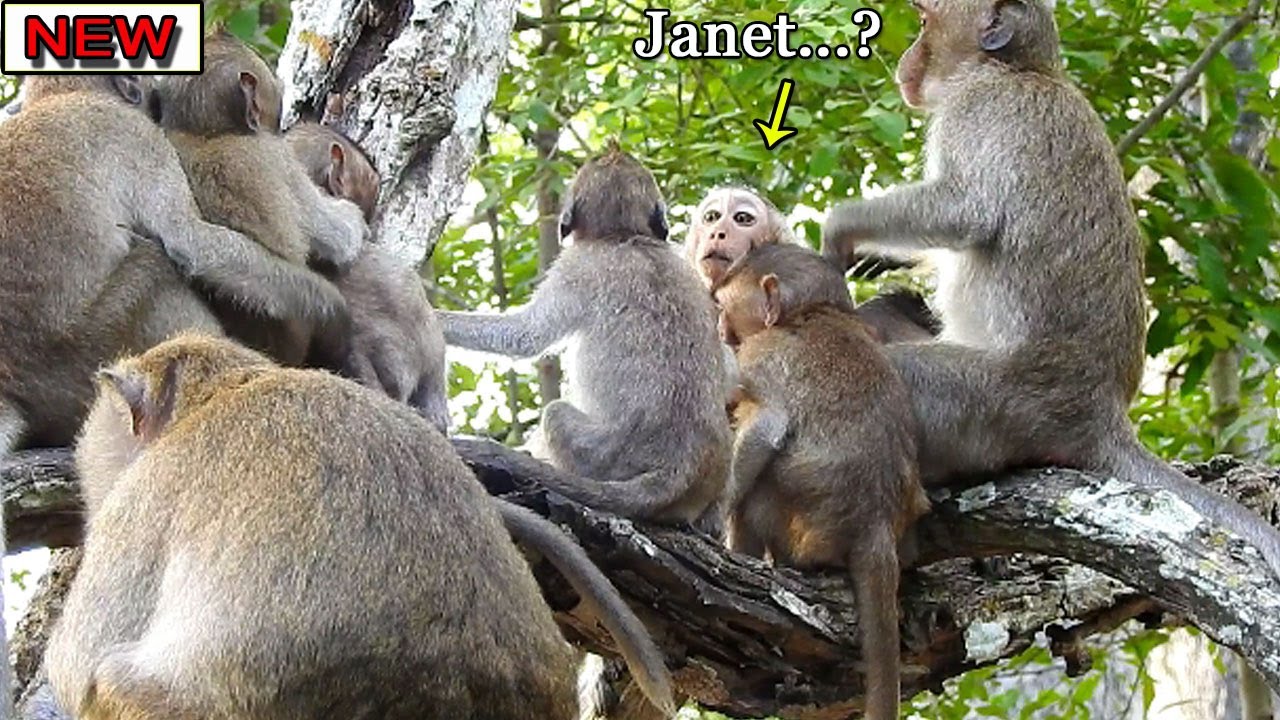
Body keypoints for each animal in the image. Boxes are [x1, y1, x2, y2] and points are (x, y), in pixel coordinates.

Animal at [0, 73, 346, 453]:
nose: (153, 96)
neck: (61, 95)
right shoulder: (140, 138)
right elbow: (189, 239)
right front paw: (330, 304)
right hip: (84, 352)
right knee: (155, 266)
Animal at [441, 145, 730, 524]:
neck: (625, 236)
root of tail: (677, 466)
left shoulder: (575, 267)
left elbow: (525, 336)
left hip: (602, 454)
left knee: (555, 414)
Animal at [713, 243, 930, 720]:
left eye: (724, 308)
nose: (718, 327)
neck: (812, 314)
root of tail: (876, 525)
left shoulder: (758, 354)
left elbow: (767, 425)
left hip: (794, 522)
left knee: (757, 493)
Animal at [820, 0, 1280, 578]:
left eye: (924, 23)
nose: (907, 60)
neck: (1023, 69)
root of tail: (1102, 414)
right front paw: (881, 256)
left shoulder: (978, 108)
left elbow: (966, 211)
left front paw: (840, 226)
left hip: (1003, 405)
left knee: (894, 376)